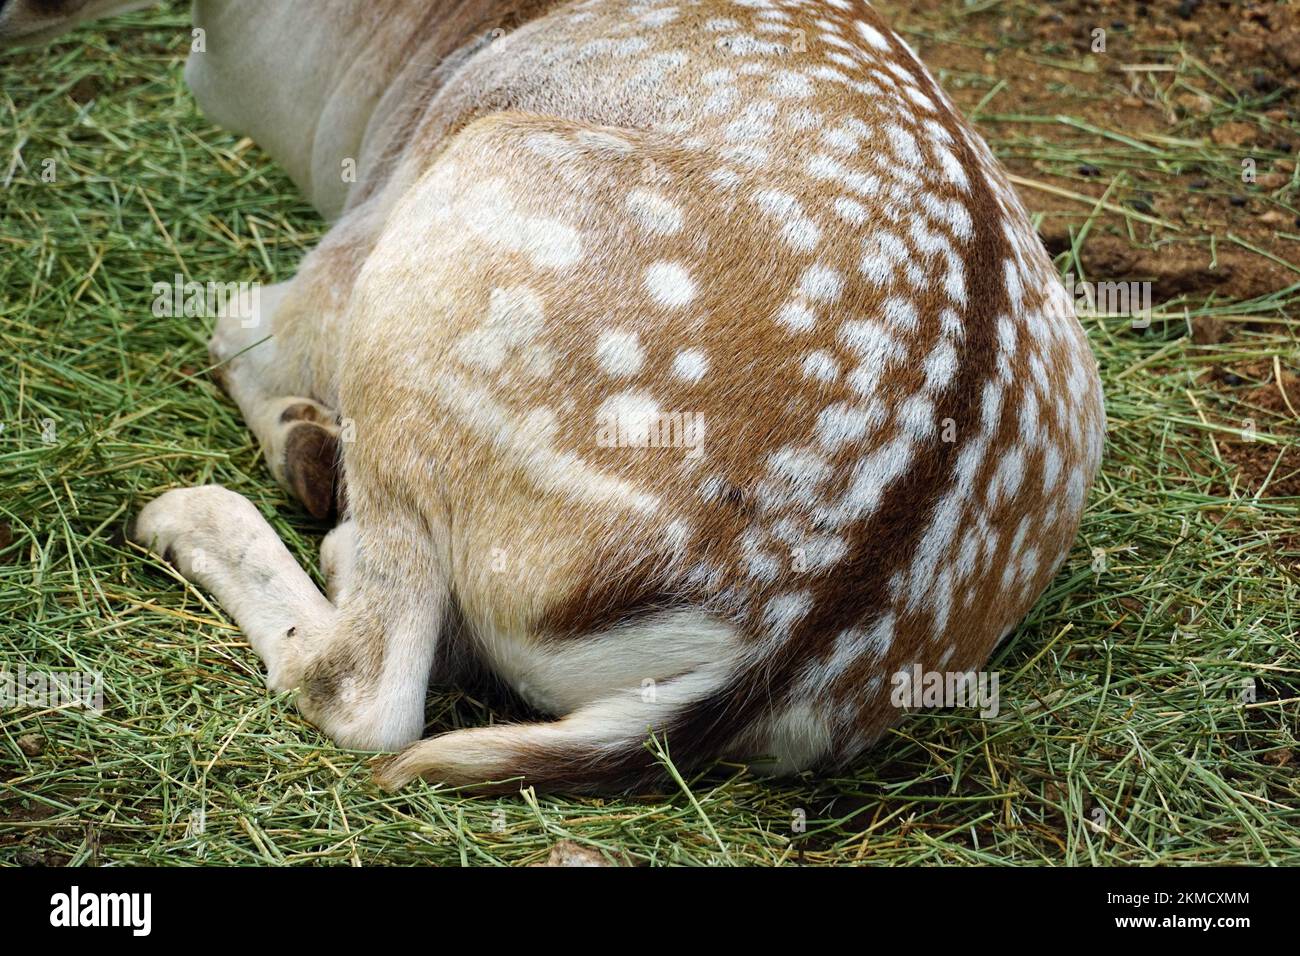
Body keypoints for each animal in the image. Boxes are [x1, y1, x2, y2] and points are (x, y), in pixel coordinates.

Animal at [2, 0, 1106, 793]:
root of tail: (780, 644)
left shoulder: (357, 238)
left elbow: (239, 329)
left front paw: (301, 445)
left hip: (454, 230)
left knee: (366, 693)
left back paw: (206, 516)